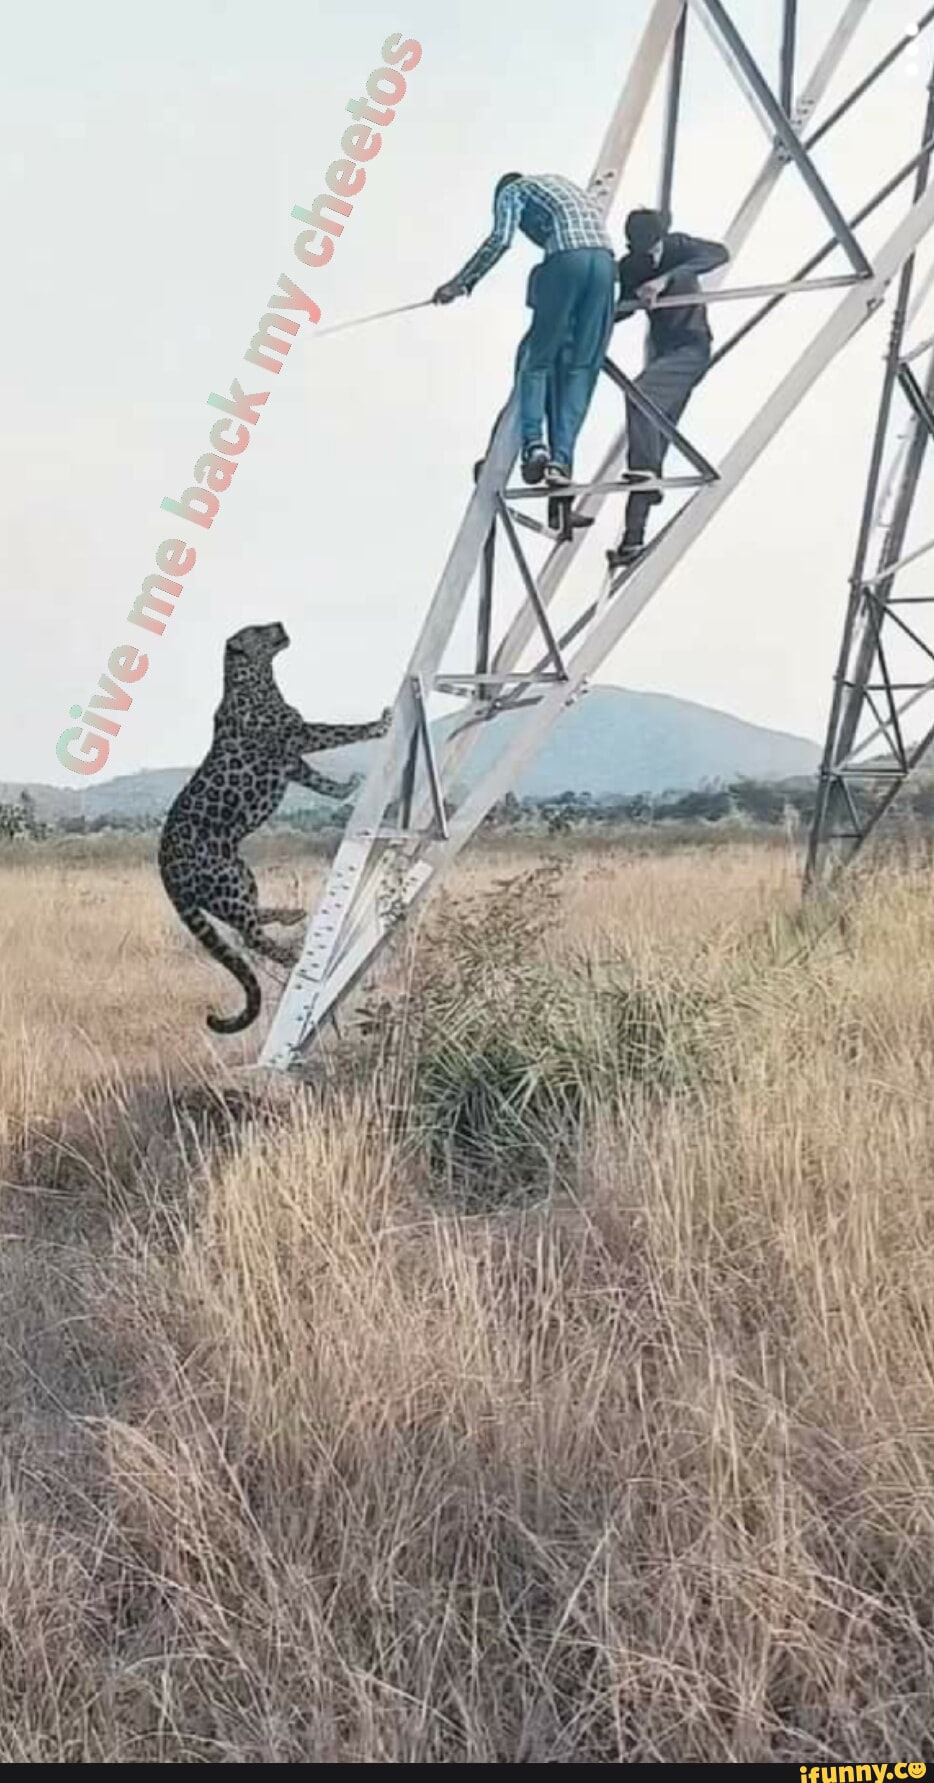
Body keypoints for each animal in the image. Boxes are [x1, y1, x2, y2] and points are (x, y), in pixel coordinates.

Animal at [158, 620, 391, 1035]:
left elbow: (320, 782)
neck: (260, 677)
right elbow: (342, 731)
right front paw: (379, 725)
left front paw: (346, 787)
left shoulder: (293, 763)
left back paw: (292, 918)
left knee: (248, 924)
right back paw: (293, 953)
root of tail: (165, 868)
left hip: (237, 874)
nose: (280, 624)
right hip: (226, 884)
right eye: (256, 629)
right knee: (249, 936)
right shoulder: (301, 736)